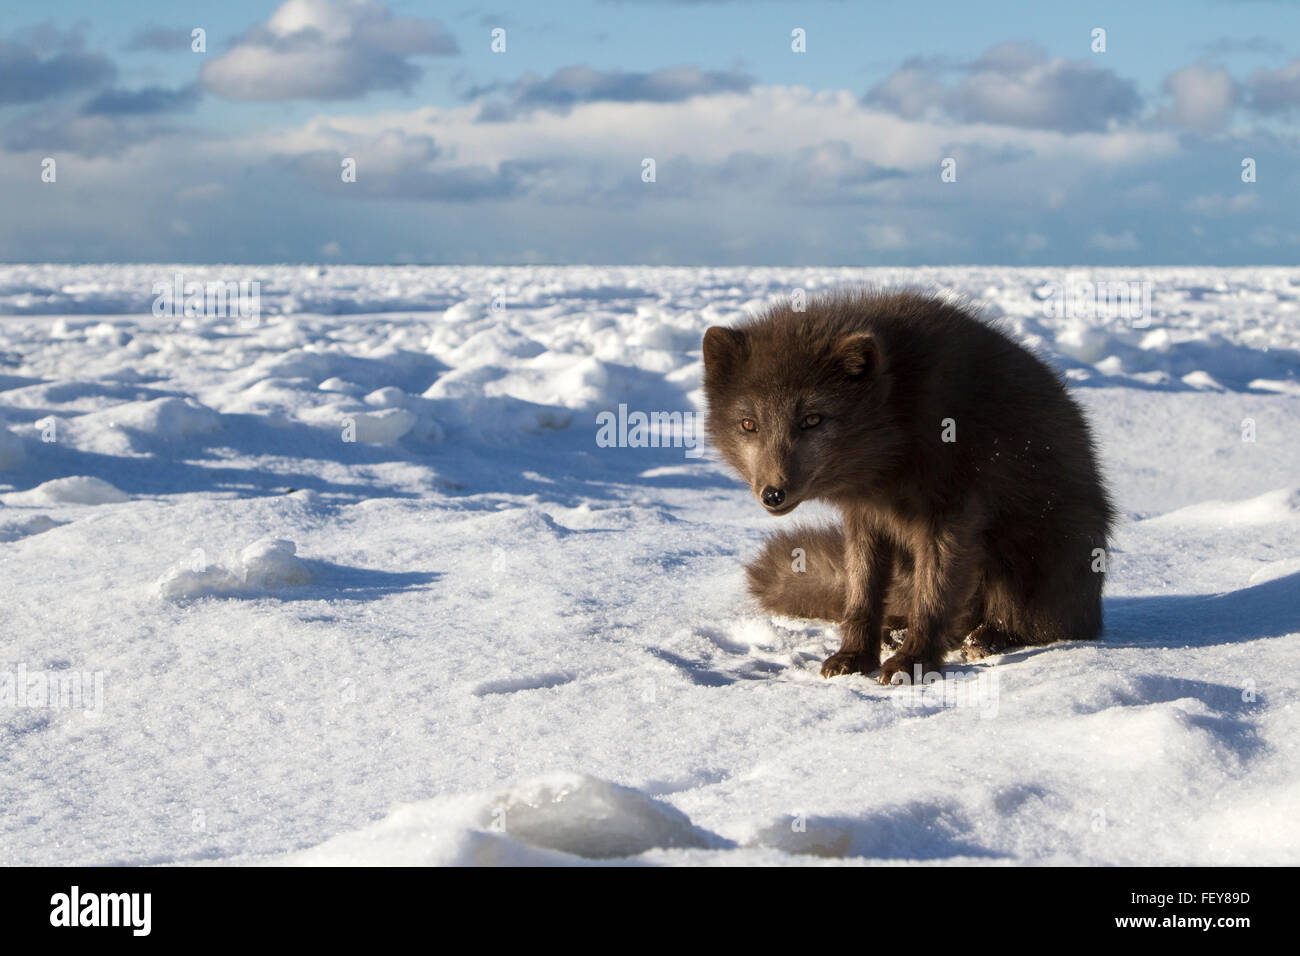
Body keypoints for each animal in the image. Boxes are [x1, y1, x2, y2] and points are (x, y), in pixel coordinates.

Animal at [701, 288, 1115, 685]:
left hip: (1033, 557)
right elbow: (861, 594)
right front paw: (854, 656)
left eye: (812, 420)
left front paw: (914, 663)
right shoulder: (864, 516)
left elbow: (933, 599)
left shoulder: (950, 514)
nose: (773, 494)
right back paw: (899, 632)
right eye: (749, 424)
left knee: (1040, 625)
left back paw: (989, 637)